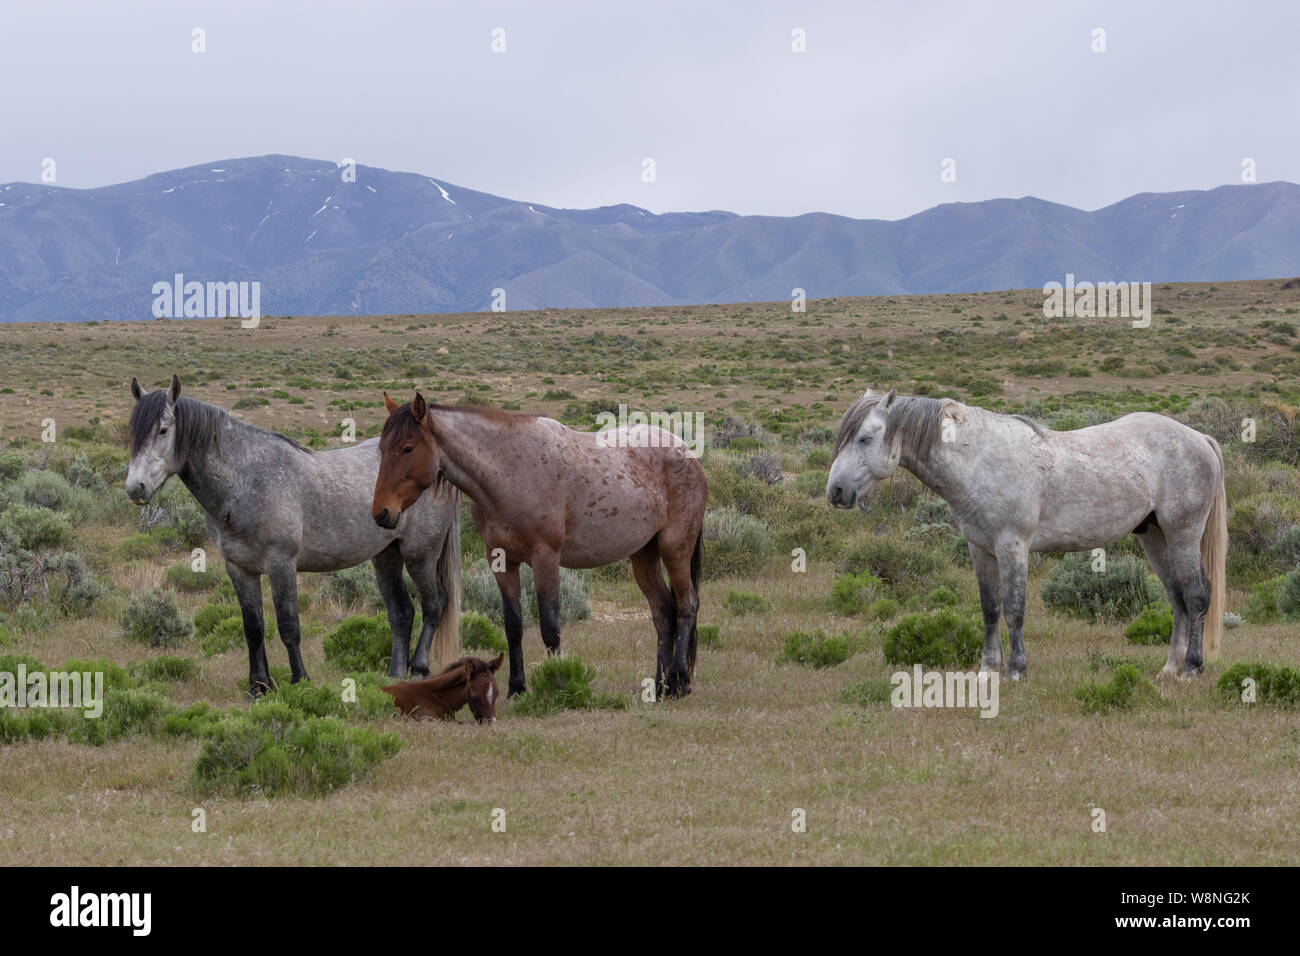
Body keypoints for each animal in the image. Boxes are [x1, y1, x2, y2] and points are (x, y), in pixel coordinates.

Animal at [126, 375, 462, 697]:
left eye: (163, 430)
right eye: (132, 433)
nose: (135, 488)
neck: (245, 481)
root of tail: (439, 470)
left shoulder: (281, 565)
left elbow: (289, 626)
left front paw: (300, 680)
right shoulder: (240, 569)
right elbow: (253, 629)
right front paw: (258, 687)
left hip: (420, 554)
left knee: (434, 604)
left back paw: (418, 669)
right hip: (386, 555)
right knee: (401, 612)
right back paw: (394, 675)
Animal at [370, 392, 708, 700]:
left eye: (407, 448)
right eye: (382, 449)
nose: (381, 513)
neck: (511, 472)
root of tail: (686, 453)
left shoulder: (545, 559)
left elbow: (550, 626)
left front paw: (559, 683)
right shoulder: (502, 560)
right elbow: (514, 625)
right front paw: (516, 687)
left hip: (675, 549)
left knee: (686, 606)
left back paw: (678, 682)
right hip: (643, 556)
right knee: (663, 613)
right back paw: (660, 686)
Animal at [826, 388, 1227, 681]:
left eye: (864, 438)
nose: (836, 492)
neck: (978, 459)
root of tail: (1199, 438)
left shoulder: (1012, 545)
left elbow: (1014, 608)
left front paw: (1017, 670)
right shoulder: (980, 549)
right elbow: (990, 608)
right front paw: (988, 669)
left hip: (1182, 533)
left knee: (1196, 594)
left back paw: (1192, 669)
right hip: (1154, 536)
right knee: (1177, 597)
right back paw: (1169, 669)